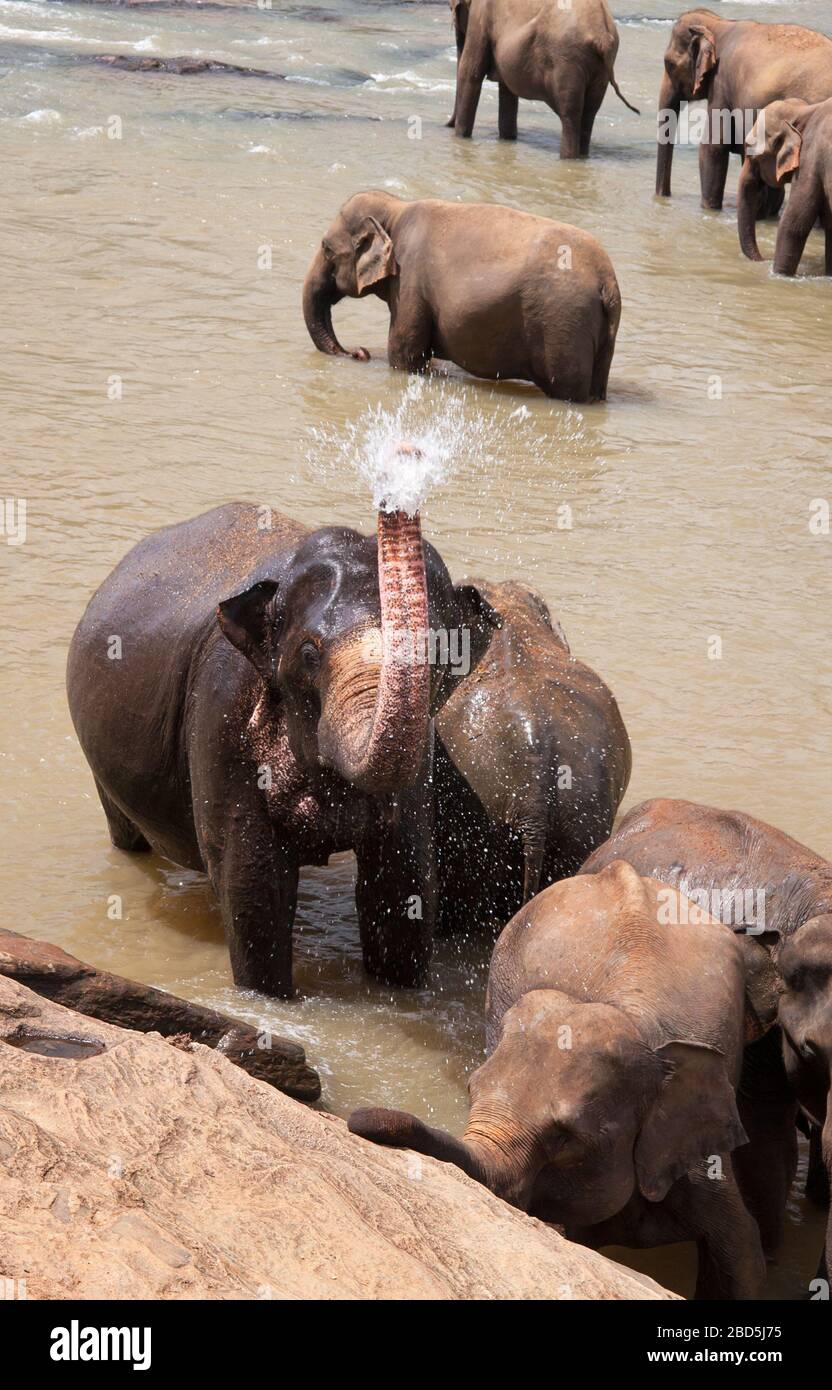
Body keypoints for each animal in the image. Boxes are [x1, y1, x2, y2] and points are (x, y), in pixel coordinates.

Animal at [66, 499, 499, 998]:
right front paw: (269, 999)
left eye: (440, 652)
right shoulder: (222, 714)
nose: (393, 501)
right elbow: (255, 884)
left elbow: (404, 880)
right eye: (310, 655)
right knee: (128, 837)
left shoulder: (423, 747)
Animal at [302, 192, 621, 401]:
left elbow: (405, 357)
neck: (396, 208)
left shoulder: (410, 283)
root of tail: (608, 282)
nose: (359, 352)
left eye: (326, 249)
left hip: (562, 325)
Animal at [447, 0, 638, 157]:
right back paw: (582, 156)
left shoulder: (481, 18)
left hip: (567, 61)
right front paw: (508, 139)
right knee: (589, 113)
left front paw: (461, 137)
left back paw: (567, 158)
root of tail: (602, 36)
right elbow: (506, 89)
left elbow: (470, 72)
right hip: (599, 68)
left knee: (570, 114)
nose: (447, 125)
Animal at [655, 10, 832, 212]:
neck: (719, 24)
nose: (663, 197)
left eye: (669, 64)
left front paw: (709, 209)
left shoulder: (721, 83)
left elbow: (714, 146)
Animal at [738, 98, 832, 275]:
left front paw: (780, 275)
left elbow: (794, 223)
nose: (764, 259)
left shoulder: (810, 159)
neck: (802, 112)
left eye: (752, 155)